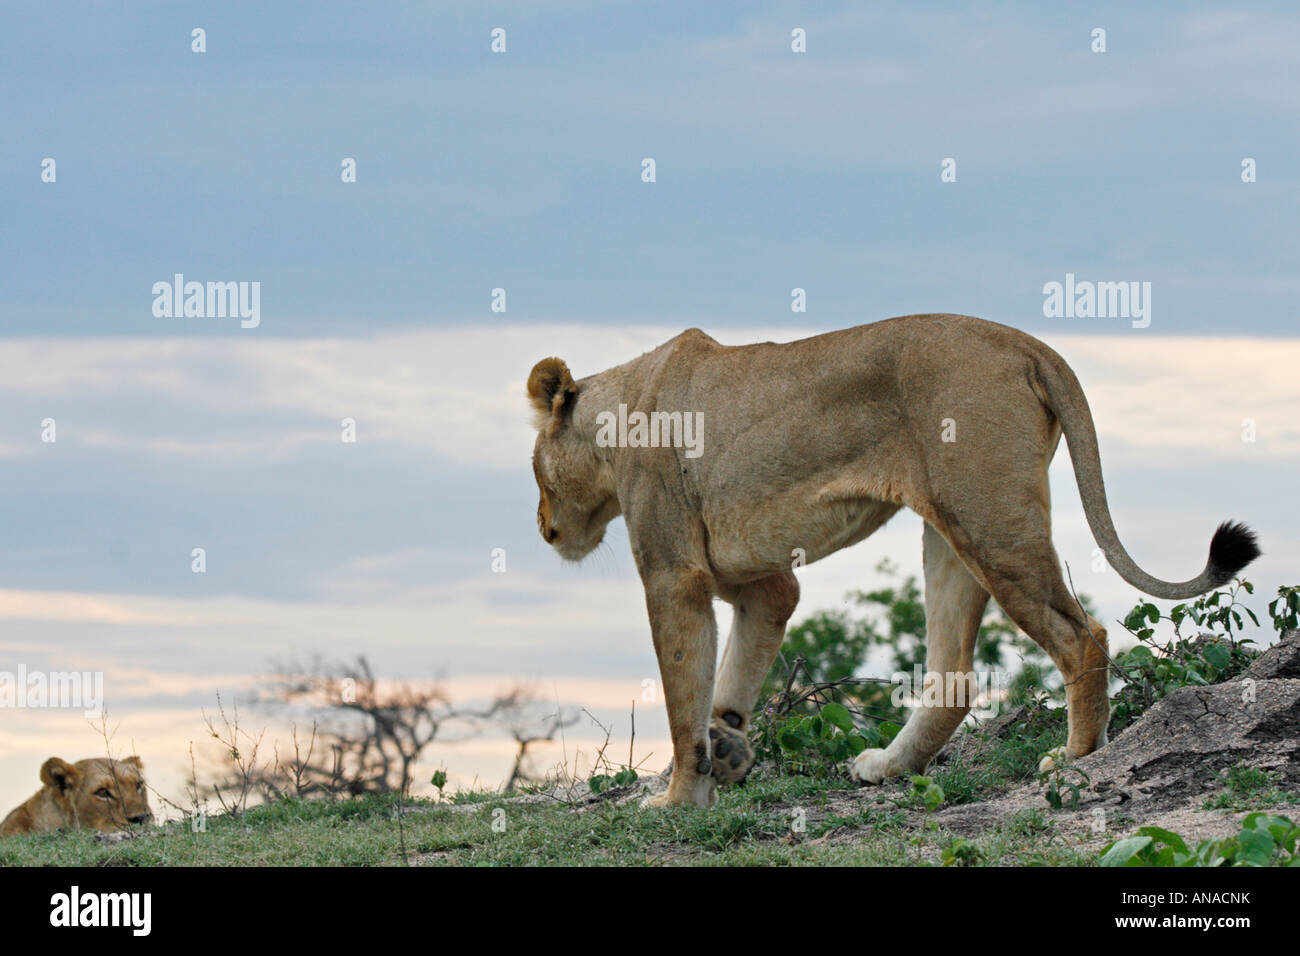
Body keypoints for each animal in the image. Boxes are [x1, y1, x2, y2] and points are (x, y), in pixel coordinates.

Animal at [527, 314, 1260, 808]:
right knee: (954, 676)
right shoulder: (763, 582)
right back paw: (888, 767)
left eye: (534, 467)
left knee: (1081, 636)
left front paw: (678, 799)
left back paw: (1076, 758)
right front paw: (728, 746)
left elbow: (683, 699)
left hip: (991, 522)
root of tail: (1029, 343)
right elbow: (728, 677)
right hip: (951, 530)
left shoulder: (673, 575)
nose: (540, 529)